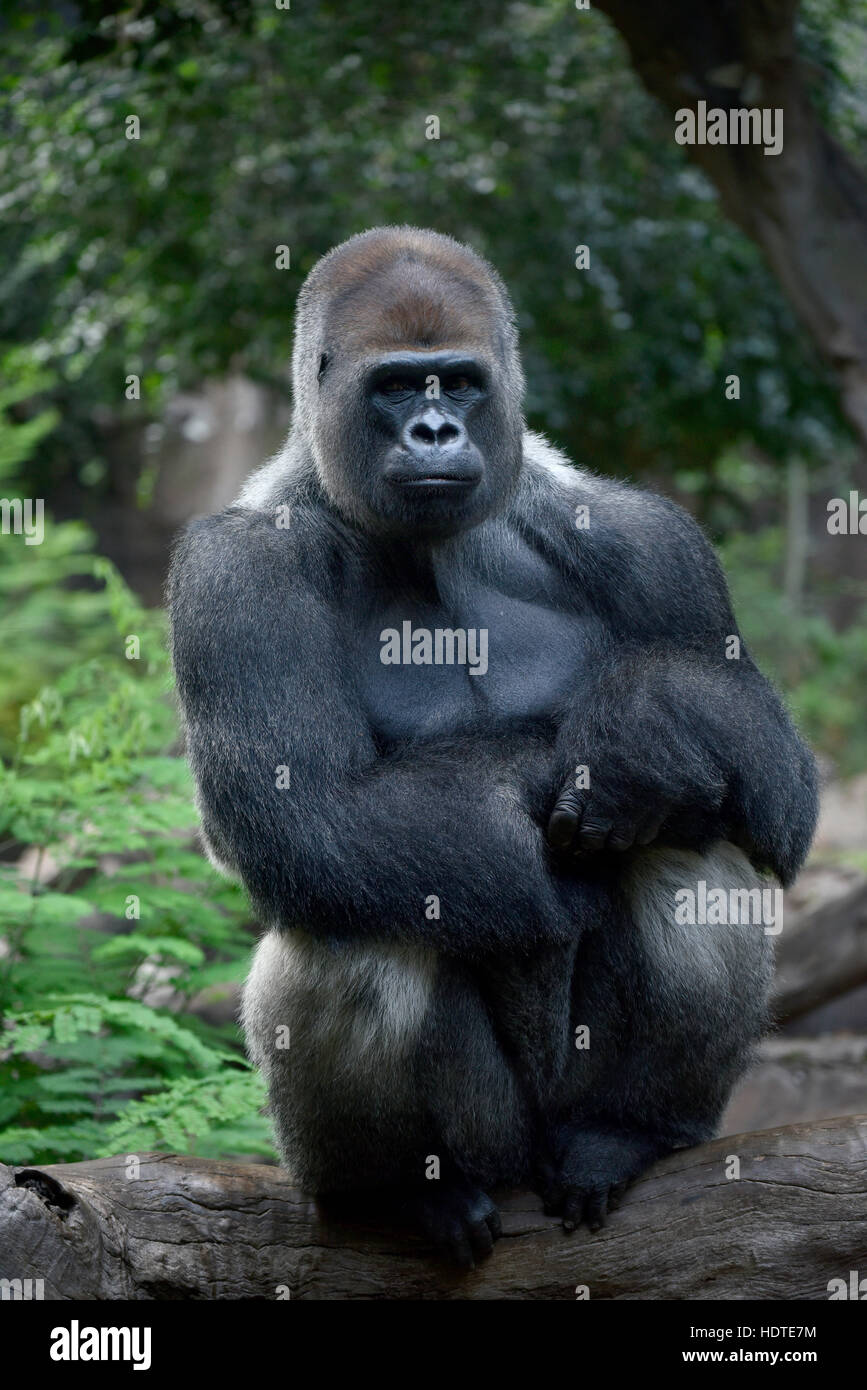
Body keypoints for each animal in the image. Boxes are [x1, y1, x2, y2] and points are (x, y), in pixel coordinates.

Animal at [168, 226, 817, 1268]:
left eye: (462, 384)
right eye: (397, 387)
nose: (435, 432)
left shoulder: (654, 541)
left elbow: (775, 787)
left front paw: (649, 726)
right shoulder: (236, 572)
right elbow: (300, 807)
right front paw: (571, 775)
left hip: (566, 1118)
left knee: (693, 843)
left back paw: (628, 1129)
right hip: (486, 1138)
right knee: (355, 917)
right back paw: (401, 1190)